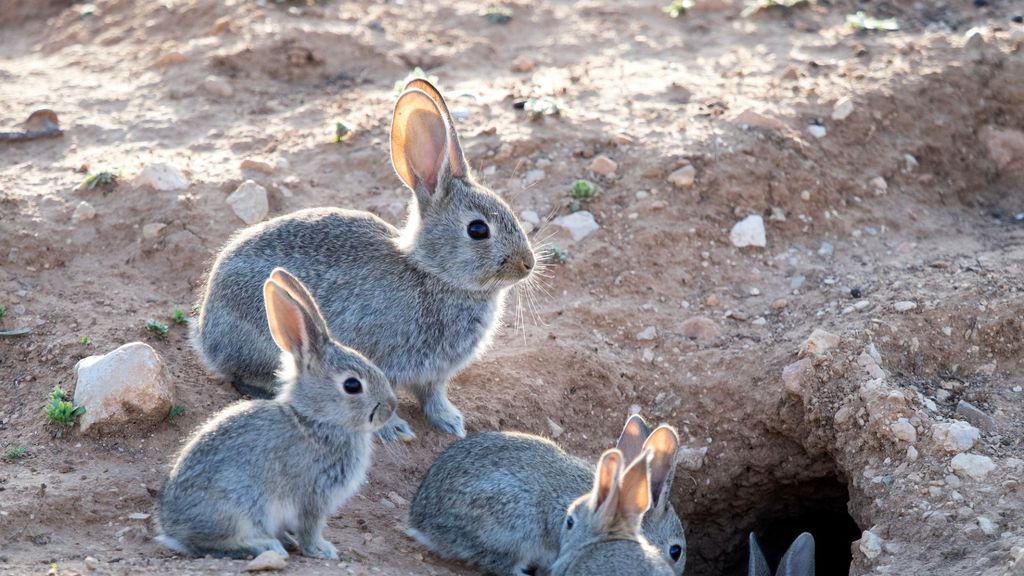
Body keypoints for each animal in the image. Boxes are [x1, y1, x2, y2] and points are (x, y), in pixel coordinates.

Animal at [156, 268, 397, 559]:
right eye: (352, 385)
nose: (390, 407)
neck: (315, 420)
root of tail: (171, 528)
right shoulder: (314, 496)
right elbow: (311, 528)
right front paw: (321, 550)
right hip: (240, 507)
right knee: (208, 543)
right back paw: (263, 545)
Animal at [191, 78, 536, 441]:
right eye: (478, 229)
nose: (528, 264)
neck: (432, 273)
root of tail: (205, 335)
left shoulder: (434, 376)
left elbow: (433, 397)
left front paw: (450, 423)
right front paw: (394, 430)